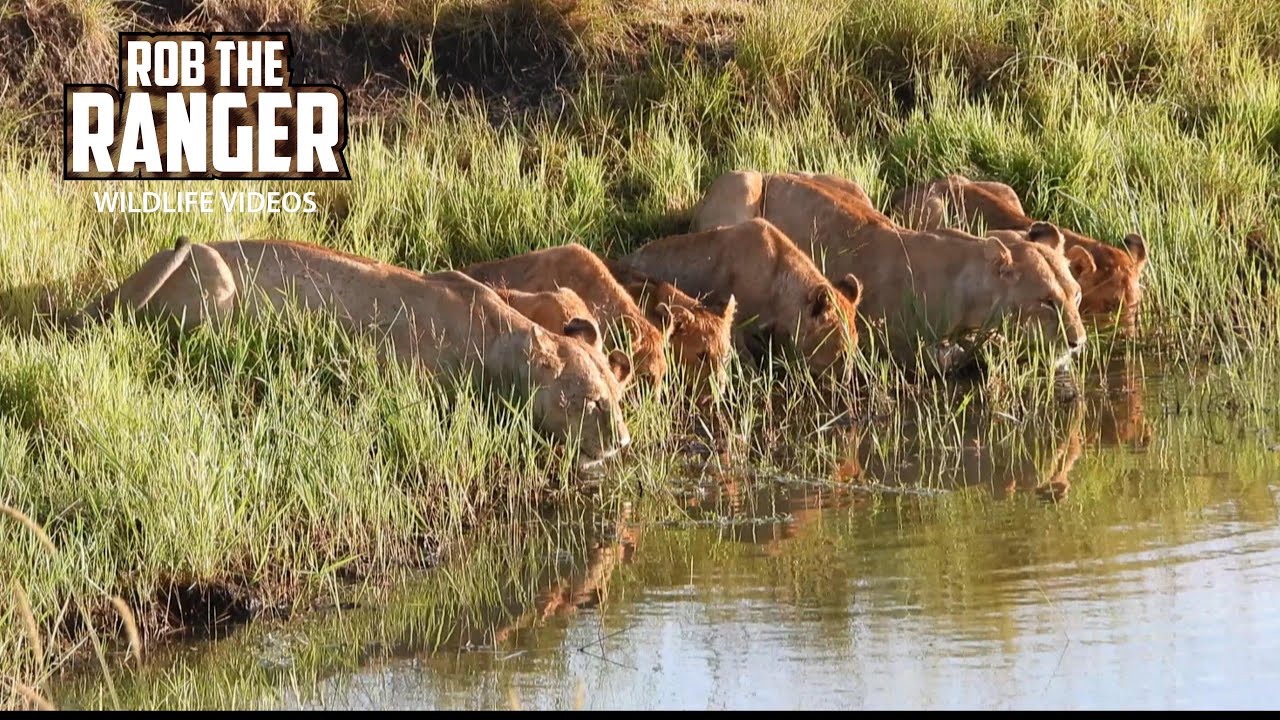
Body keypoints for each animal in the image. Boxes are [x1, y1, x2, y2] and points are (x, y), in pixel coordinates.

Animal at [67, 237, 633, 468]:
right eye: (591, 402)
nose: (624, 443)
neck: (498, 337)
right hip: (211, 274)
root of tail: (116, 289)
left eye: (619, 399)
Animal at [691, 171, 1087, 372]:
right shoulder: (881, 342)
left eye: (1076, 295)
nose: (1078, 342)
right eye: (1047, 301)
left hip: (855, 187)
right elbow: (939, 356)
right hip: (744, 184)